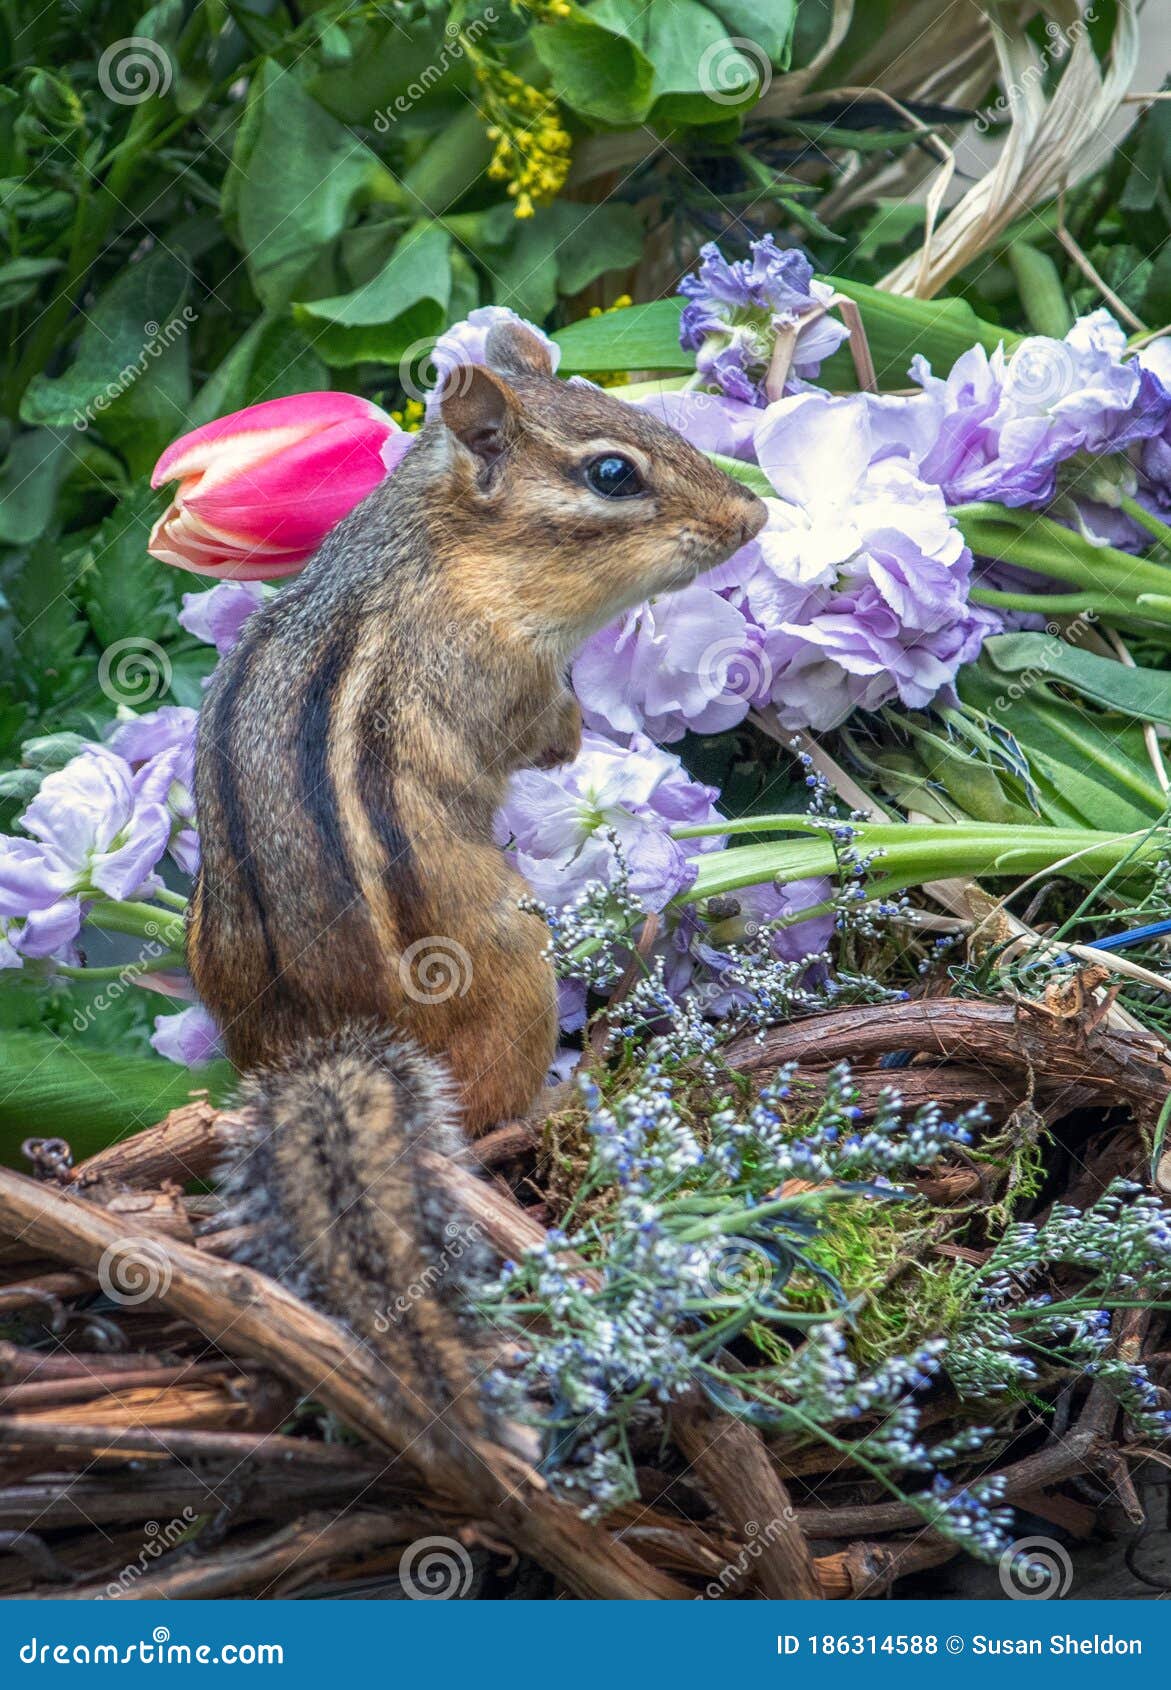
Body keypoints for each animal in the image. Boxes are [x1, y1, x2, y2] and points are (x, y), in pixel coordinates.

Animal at [192, 319, 766, 1466]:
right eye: (610, 473)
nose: (752, 514)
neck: (444, 548)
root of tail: (325, 1035)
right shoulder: (507, 672)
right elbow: (541, 734)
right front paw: (582, 734)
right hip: (514, 964)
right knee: (496, 1112)